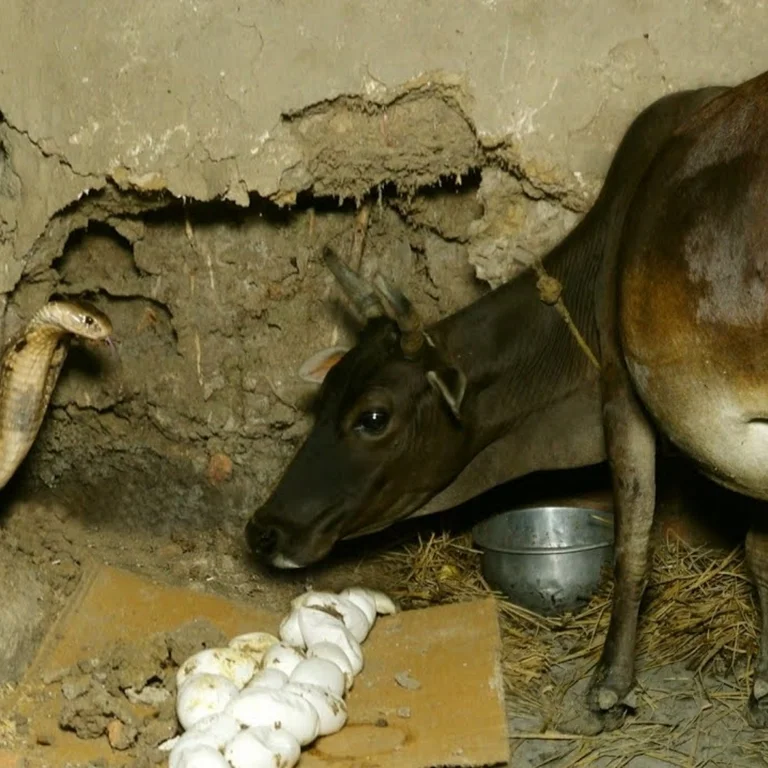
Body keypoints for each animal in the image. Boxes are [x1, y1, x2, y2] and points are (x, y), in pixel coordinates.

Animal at [246, 69, 768, 729]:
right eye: (325, 395)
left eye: (373, 416)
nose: (263, 531)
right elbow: (759, 552)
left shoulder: (623, 393)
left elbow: (635, 543)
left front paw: (611, 684)